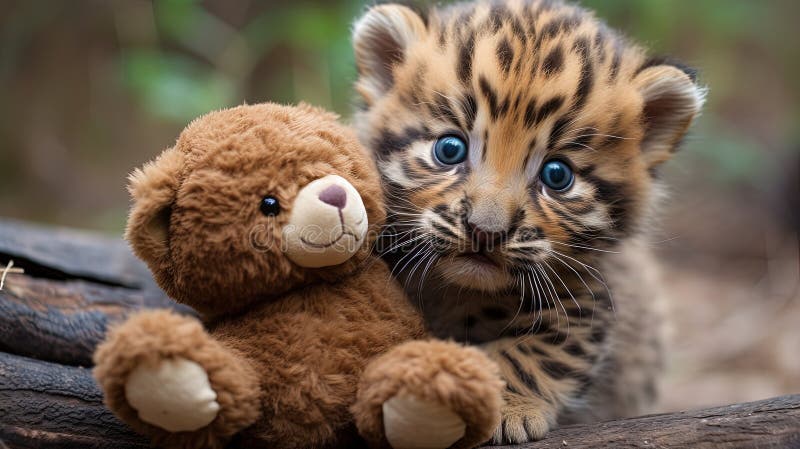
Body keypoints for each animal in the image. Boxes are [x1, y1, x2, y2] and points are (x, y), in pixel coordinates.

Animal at [350, 0, 705, 444]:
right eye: (449, 149)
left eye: (557, 175)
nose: (487, 231)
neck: (460, 293)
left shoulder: (589, 297)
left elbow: (545, 349)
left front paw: (505, 403)